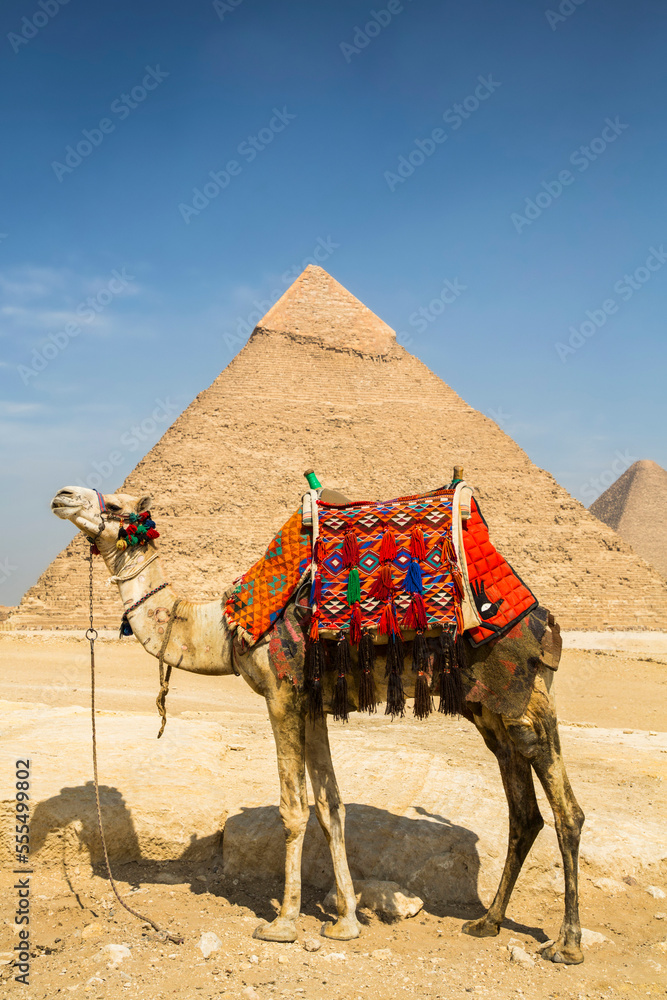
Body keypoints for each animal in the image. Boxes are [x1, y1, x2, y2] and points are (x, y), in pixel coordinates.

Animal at [51, 484, 585, 965]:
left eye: (114, 503)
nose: (62, 495)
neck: (226, 628)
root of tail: (542, 617)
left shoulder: (282, 693)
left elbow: (293, 810)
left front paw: (283, 922)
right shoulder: (312, 705)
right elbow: (331, 807)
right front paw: (346, 921)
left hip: (522, 696)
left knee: (567, 811)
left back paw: (566, 944)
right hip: (490, 706)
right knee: (525, 811)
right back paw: (487, 922)